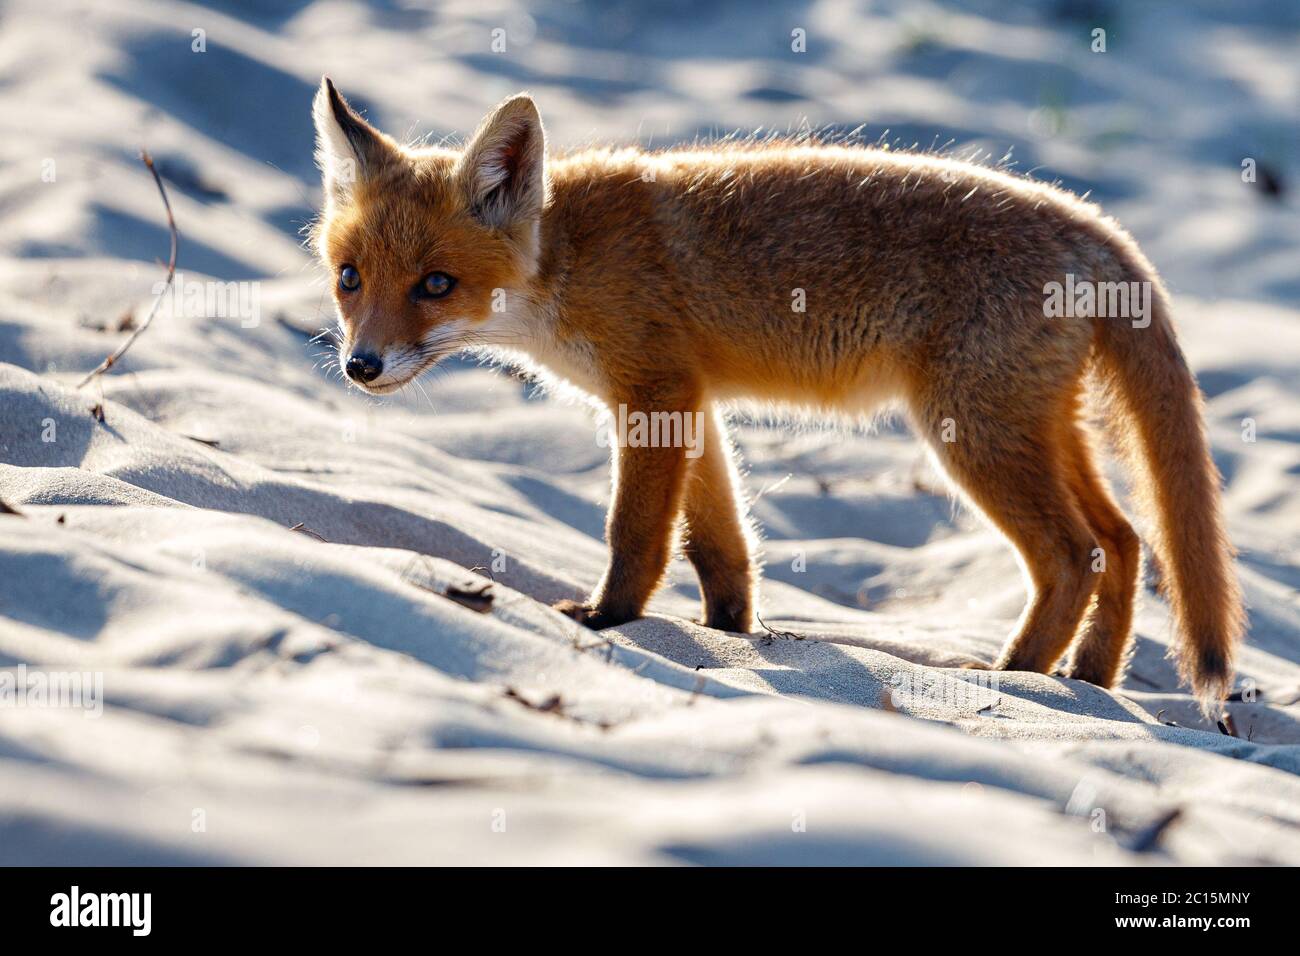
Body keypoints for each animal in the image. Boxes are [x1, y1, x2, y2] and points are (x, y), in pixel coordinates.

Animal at [310, 77, 1245, 713]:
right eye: (350, 278)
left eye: (435, 284)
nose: (362, 366)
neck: (567, 259)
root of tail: (1089, 221)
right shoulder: (690, 404)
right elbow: (718, 543)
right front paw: (730, 629)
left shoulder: (654, 394)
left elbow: (636, 534)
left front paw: (608, 620)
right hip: (1035, 428)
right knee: (1125, 541)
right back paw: (1090, 681)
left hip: (971, 435)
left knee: (1073, 554)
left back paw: (1018, 676)